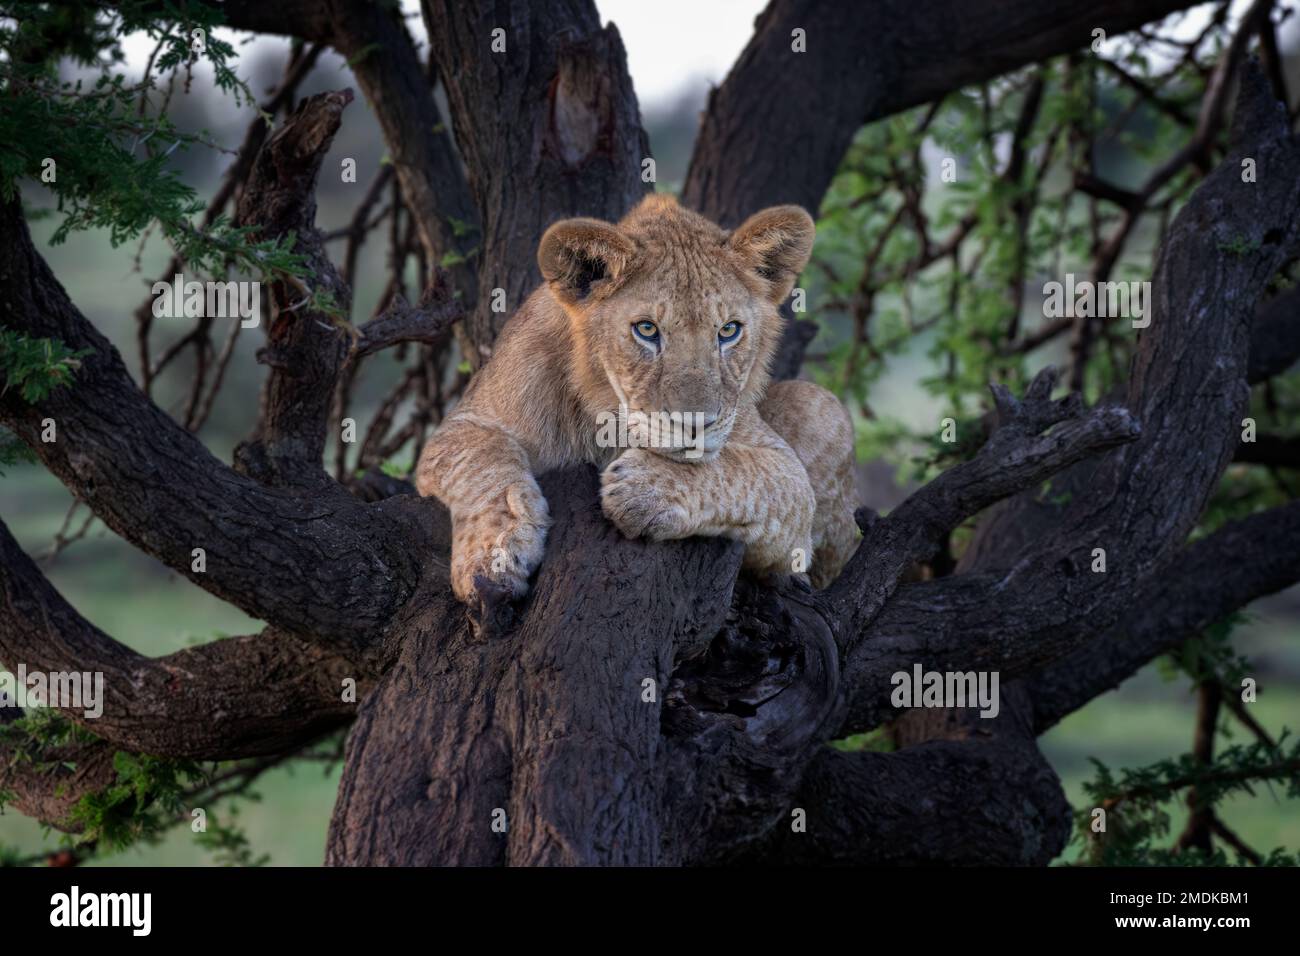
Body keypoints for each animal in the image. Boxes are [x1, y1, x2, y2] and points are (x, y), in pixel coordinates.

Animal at [415, 194, 859, 605]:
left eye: (729, 330)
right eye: (646, 329)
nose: (695, 426)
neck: (607, 421)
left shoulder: (789, 484)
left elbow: (746, 475)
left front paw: (645, 489)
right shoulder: (462, 424)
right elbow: (481, 459)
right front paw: (493, 557)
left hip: (818, 404)